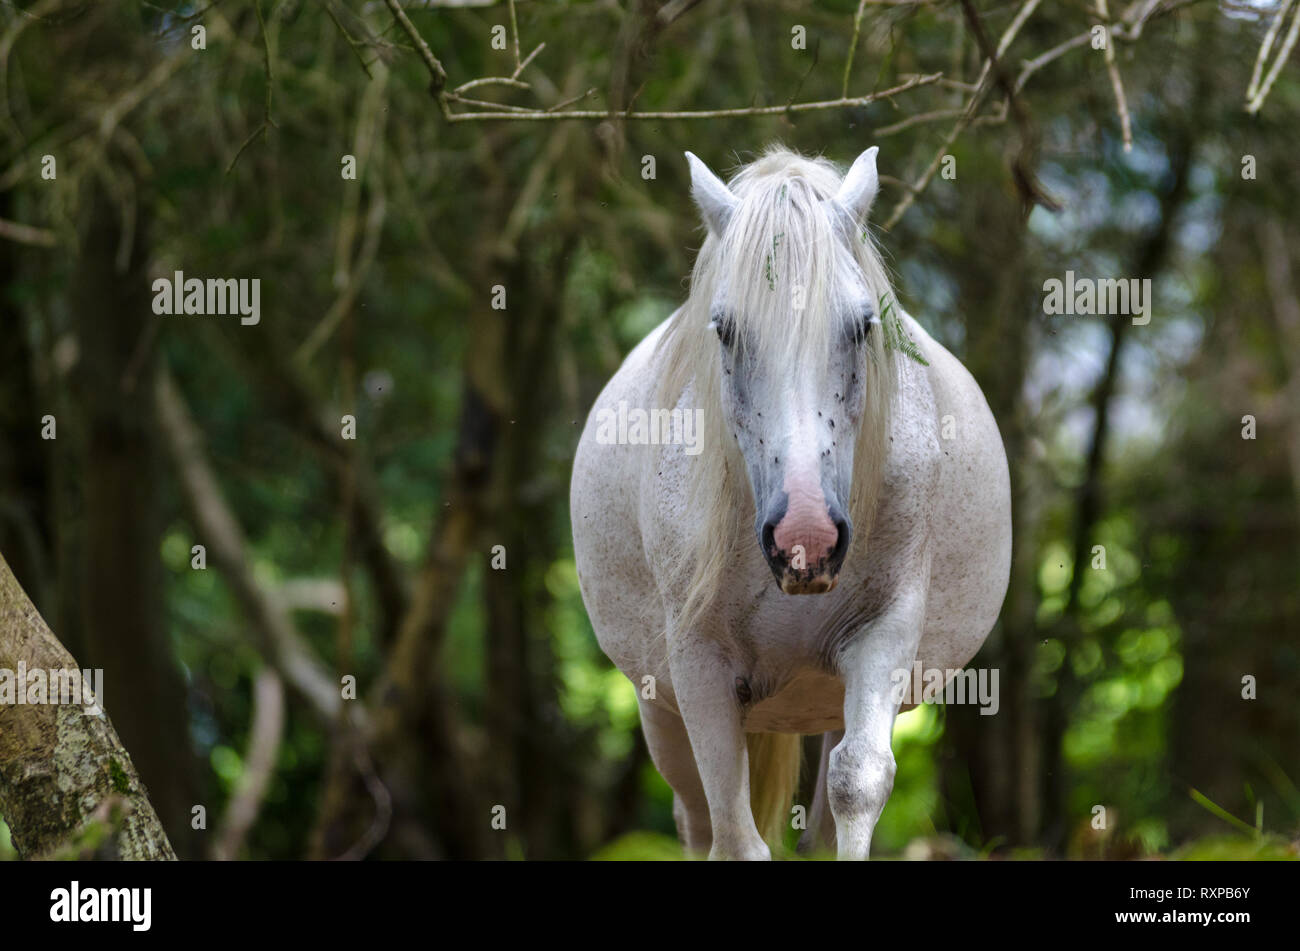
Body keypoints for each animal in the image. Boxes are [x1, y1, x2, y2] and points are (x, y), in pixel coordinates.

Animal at [570, 145, 1011, 860]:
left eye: (862, 327)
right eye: (725, 331)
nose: (807, 537)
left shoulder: (883, 635)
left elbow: (858, 785)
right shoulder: (697, 667)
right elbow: (734, 835)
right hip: (660, 712)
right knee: (696, 817)